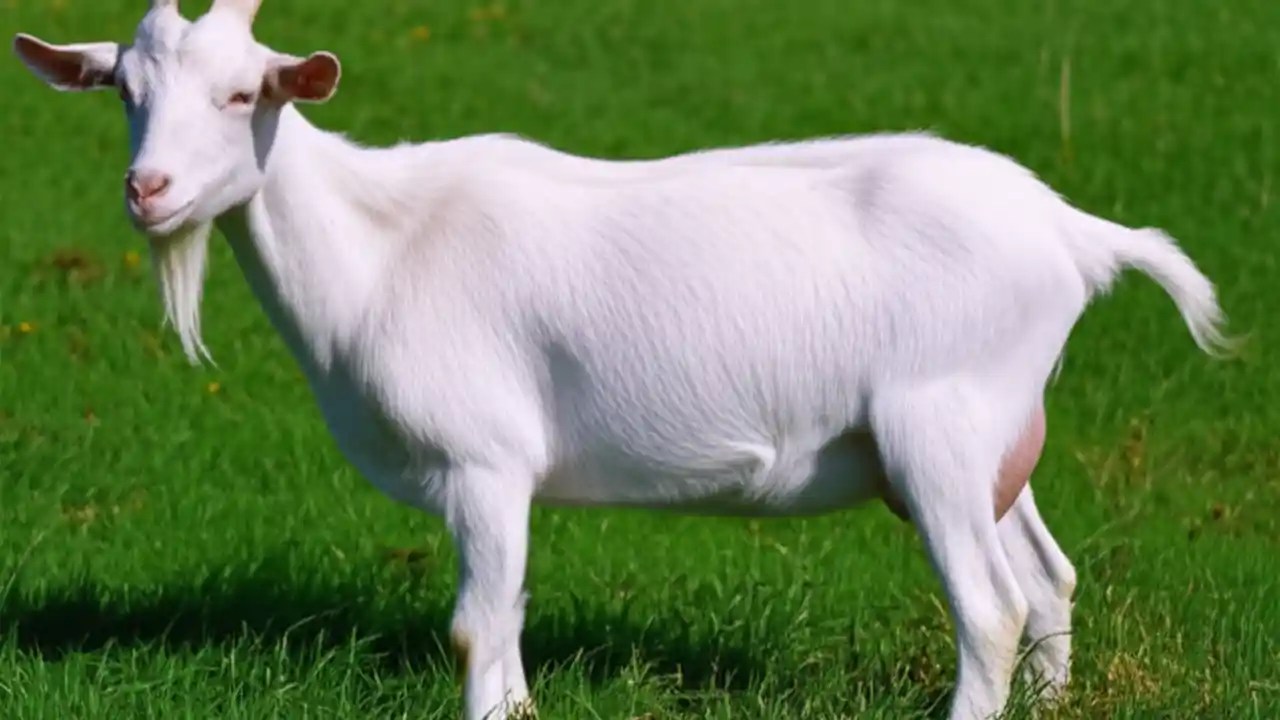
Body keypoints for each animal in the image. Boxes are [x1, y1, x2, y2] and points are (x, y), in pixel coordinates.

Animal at [13, 1, 1230, 718]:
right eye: (124, 91)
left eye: (241, 94)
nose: (149, 191)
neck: (381, 242)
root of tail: (1071, 233)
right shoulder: (496, 484)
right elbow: (502, 624)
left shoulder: (485, 461)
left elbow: (474, 626)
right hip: (987, 440)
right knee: (1047, 576)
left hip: (938, 426)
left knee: (989, 608)